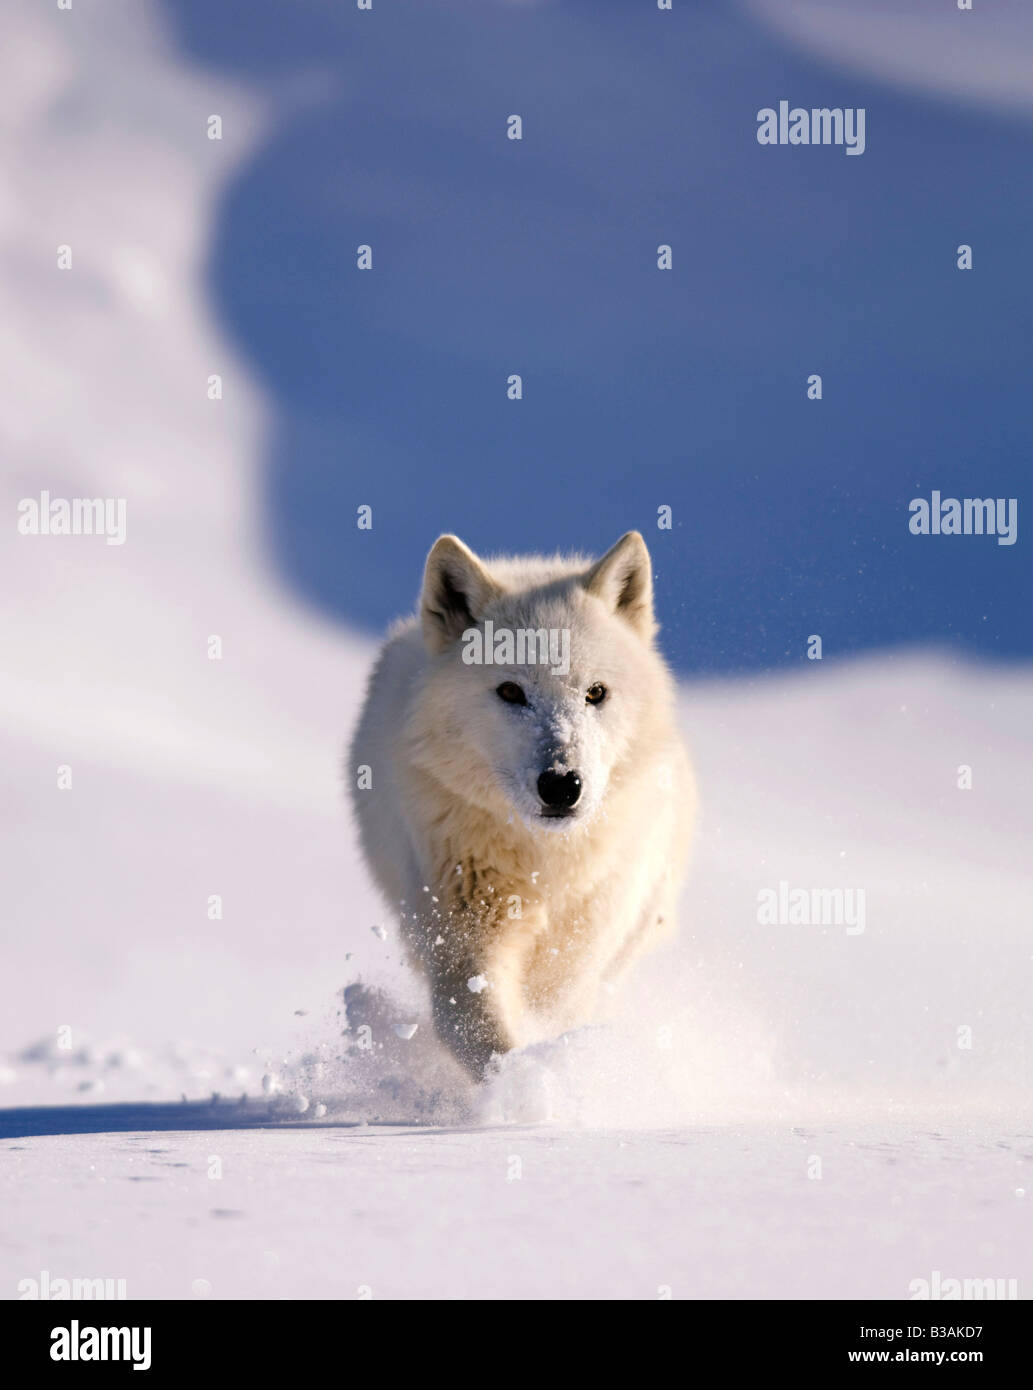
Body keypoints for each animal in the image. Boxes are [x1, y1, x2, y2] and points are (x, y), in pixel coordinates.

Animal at [349, 531, 695, 1078]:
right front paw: (522, 1085)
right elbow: (480, 1029)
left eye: (596, 692)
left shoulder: (578, 951)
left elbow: (554, 1014)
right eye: (511, 691)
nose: (562, 785)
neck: (542, 862)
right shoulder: (464, 940)